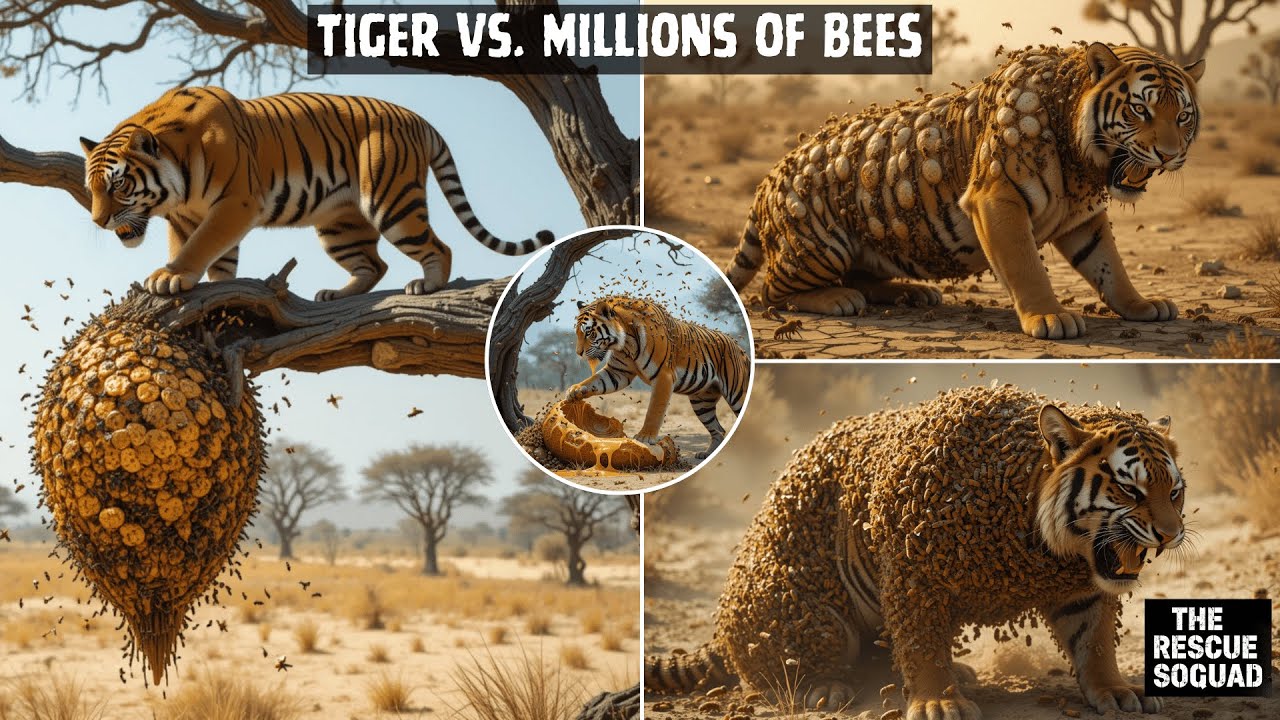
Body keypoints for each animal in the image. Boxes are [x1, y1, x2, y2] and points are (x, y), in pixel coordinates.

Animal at [79, 86, 554, 300]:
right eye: (91, 188)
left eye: (118, 185)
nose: (99, 220)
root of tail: (418, 119)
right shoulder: (187, 216)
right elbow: (210, 256)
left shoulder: (234, 203)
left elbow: (201, 246)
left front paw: (169, 276)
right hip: (340, 224)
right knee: (374, 265)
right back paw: (337, 294)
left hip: (392, 202)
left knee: (438, 246)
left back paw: (427, 285)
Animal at [567, 295, 750, 459]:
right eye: (577, 333)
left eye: (589, 333)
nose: (579, 353)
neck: (625, 342)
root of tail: (740, 349)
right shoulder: (618, 372)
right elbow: (594, 381)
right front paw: (575, 390)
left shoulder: (663, 376)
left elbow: (654, 410)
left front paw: (645, 437)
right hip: (702, 403)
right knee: (718, 430)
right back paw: (706, 454)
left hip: (736, 394)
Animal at [646, 385, 1187, 719]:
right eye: (1131, 490)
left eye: (1175, 492)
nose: (1170, 534)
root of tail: (721, 628)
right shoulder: (914, 573)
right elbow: (922, 644)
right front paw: (938, 703)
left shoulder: (1081, 589)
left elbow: (1093, 644)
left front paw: (1118, 692)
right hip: (812, 612)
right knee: (773, 670)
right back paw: (823, 688)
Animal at [726, 43, 1205, 339]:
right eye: (1140, 109)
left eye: (1183, 116)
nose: (1168, 154)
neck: (1086, 162)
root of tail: (768, 178)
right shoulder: (997, 197)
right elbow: (1026, 266)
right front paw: (1048, 316)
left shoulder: (1083, 219)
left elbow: (1110, 268)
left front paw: (1141, 305)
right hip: (822, 247)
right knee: (772, 291)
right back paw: (841, 298)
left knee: (859, 274)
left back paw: (910, 292)